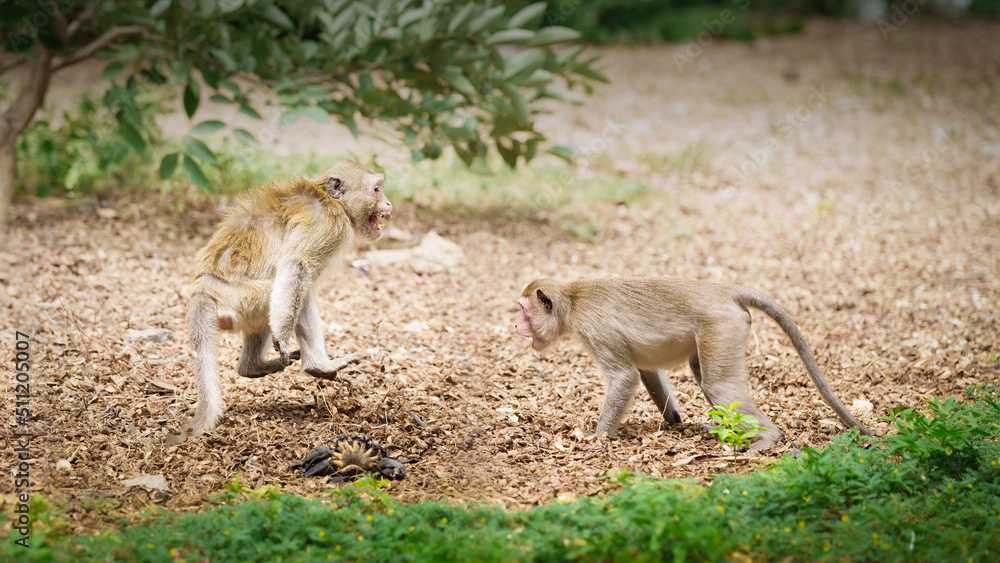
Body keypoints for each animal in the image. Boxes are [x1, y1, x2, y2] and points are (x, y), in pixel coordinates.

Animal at [167, 160, 392, 444]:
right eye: (377, 189)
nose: (388, 203)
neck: (333, 201)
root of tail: (205, 289)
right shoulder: (327, 223)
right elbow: (296, 264)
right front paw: (285, 340)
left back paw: (251, 367)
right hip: (247, 298)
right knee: (300, 292)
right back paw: (318, 365)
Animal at [515, 277, 872, 451]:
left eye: (523, 310)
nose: (517, 326)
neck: (572, 302)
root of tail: (720, 290)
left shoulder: (594, 329)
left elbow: (624, 376)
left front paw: (596, 438)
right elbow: (645, 370)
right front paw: (673, 420)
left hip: (722, 325)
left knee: (717, 384)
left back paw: (768, 437)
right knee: (704, 377)